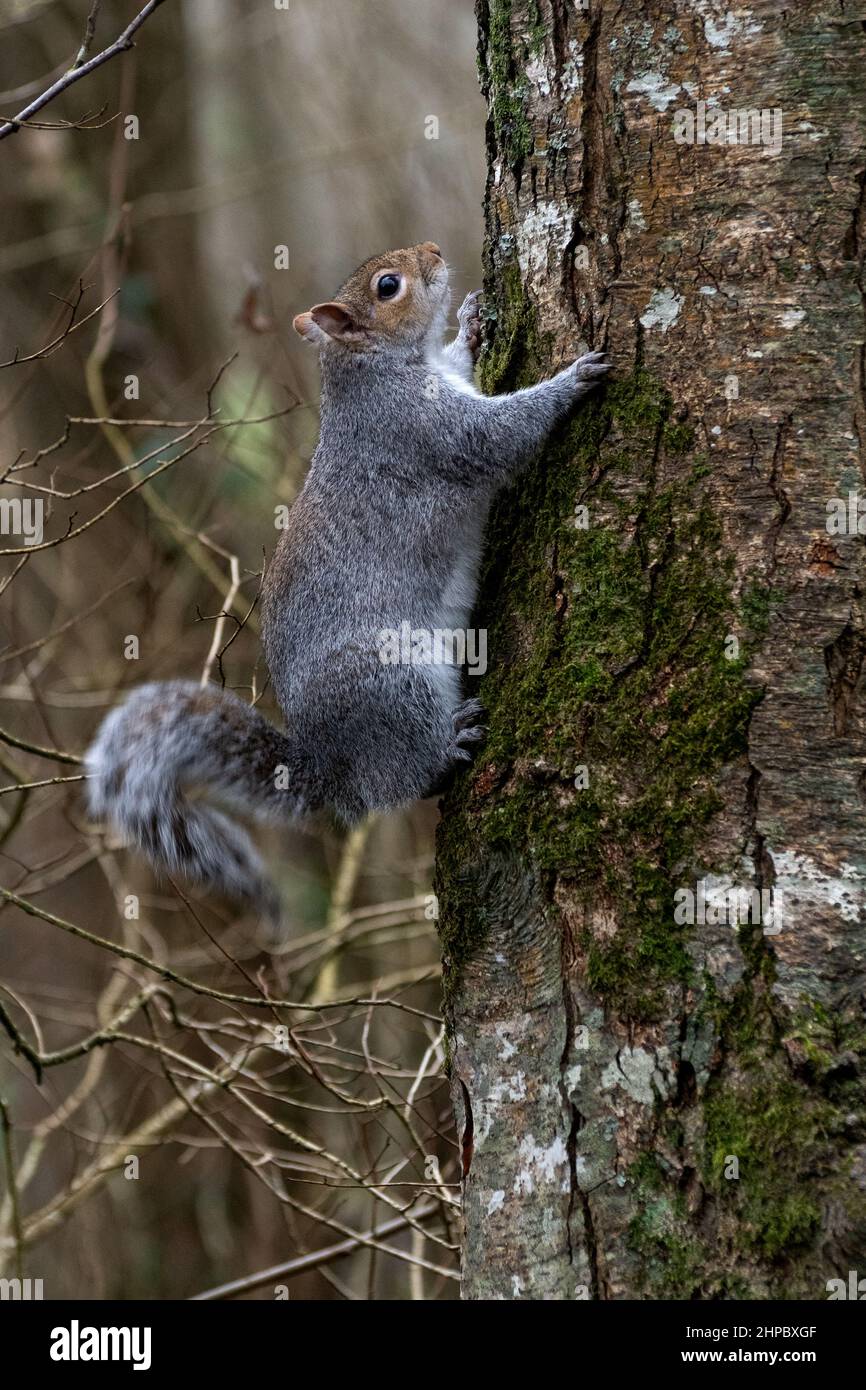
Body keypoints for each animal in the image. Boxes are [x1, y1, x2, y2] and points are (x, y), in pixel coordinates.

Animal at [86, 241, 609, 941]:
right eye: (388, 287)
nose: (435, 251)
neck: (374, 369)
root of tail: (330, 767)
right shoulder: (421, 428)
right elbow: (499, 436)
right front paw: (573, 379)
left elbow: (462, 362)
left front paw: (470, 321)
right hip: (388, 676)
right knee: (400, 783)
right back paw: (448, 745)